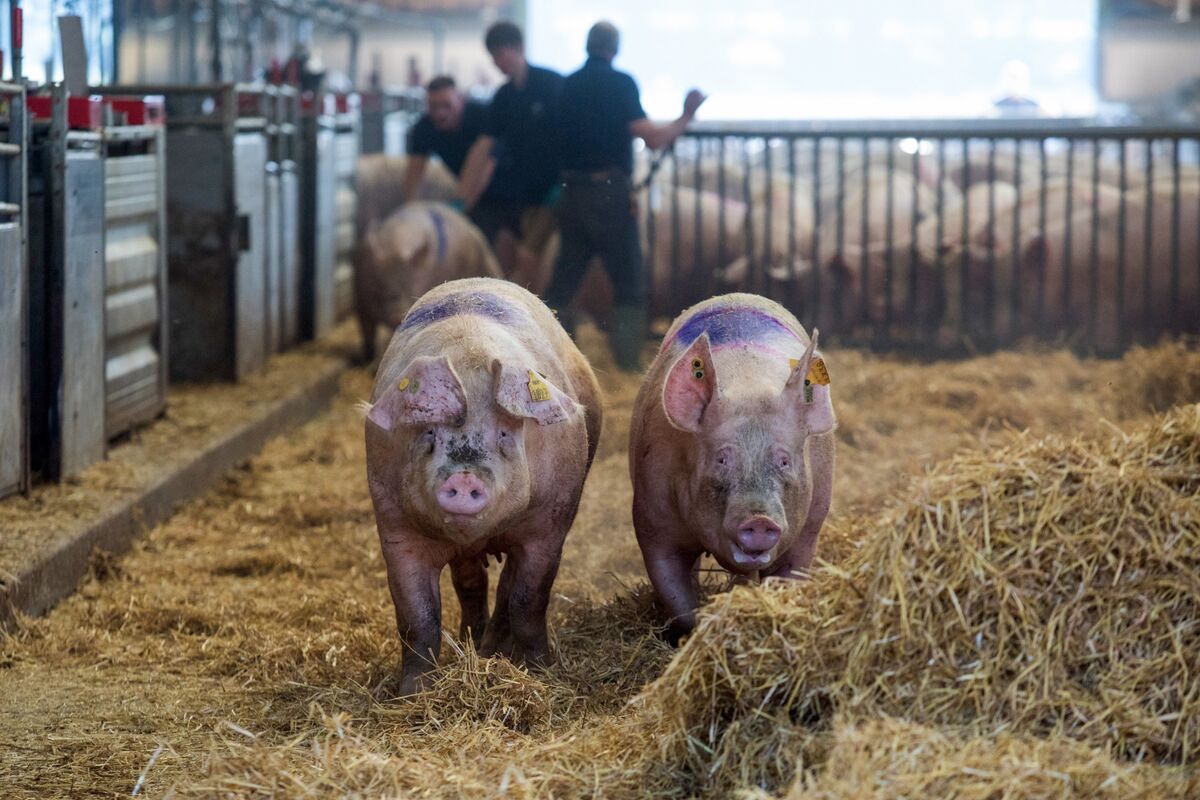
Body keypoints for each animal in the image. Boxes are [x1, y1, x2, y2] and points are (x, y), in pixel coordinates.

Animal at [354, 202, 503, 363]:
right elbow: (367, 332)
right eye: (379, 283)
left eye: (412, 286)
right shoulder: (360, 300)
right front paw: (365, 359)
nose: (396, 313)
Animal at [365, 277, 603, 694]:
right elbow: (416, 614)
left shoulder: (549, 524)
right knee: (470, 583)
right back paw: (472, 642)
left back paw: (492, 649)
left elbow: (529, 599)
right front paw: (412, 691)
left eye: (504, 434)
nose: (464, 477)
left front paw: (540, 670)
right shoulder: (394, 524)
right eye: (430, 433)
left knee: (505, 587)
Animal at [629, 294, 836, 642]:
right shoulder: (653, 523)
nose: (759, 520)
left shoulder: (809, 529)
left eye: (784, 460)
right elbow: (678, 598)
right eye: (722, 459)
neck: (747, 381)